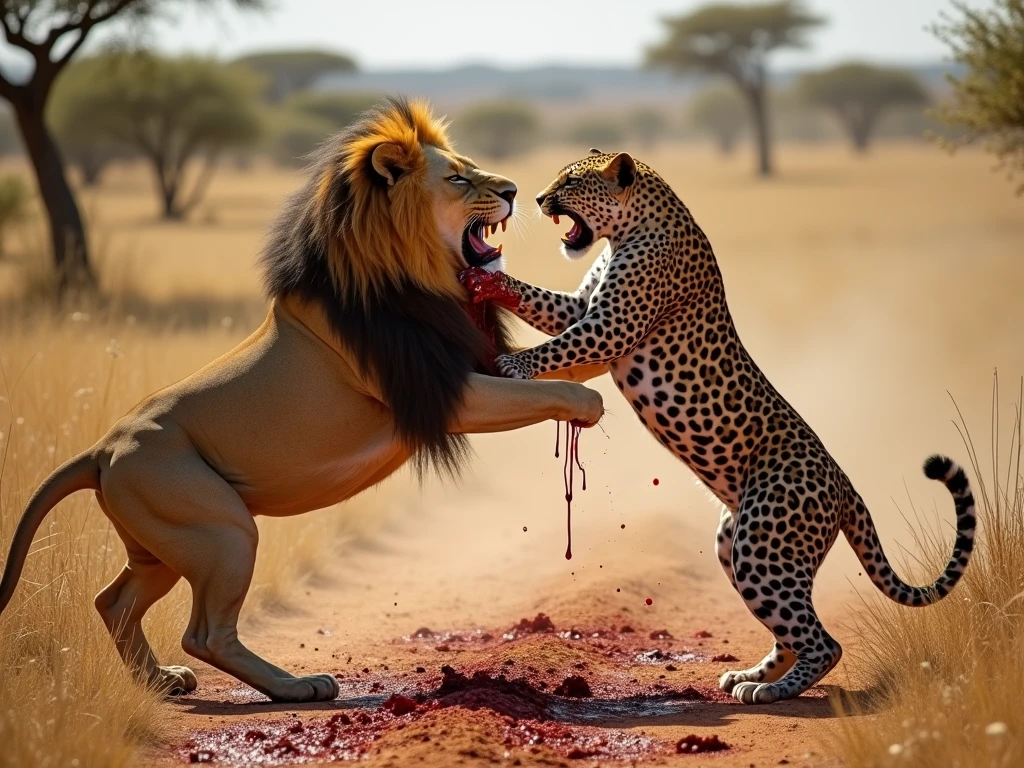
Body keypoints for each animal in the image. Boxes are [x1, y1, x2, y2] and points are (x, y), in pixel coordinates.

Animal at [0, 98, 604, 703]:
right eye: (458, 178)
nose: (514, 190)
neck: (422, 278)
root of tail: (102, 449)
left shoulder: (477, 363)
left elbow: (576, 355)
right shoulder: (446, 393)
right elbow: (557, 387)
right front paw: (590, 404)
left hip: (162, 545)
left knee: (115, 601)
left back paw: (161, 681)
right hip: (222, 530)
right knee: (204, 633)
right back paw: (295, 686)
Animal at [462, 149, 976, 704]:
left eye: (572, 182)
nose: (537, 198)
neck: (630, 227)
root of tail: (844, 486)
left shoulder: (612, 324)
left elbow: (558, 346)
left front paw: (514, 365)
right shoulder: (581, 306)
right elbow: (542, 301)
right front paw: (491, 282)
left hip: (761, 544)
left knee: (826, 643)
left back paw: (772, 691)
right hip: (740, 541)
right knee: (791, 629)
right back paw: (750, 676)